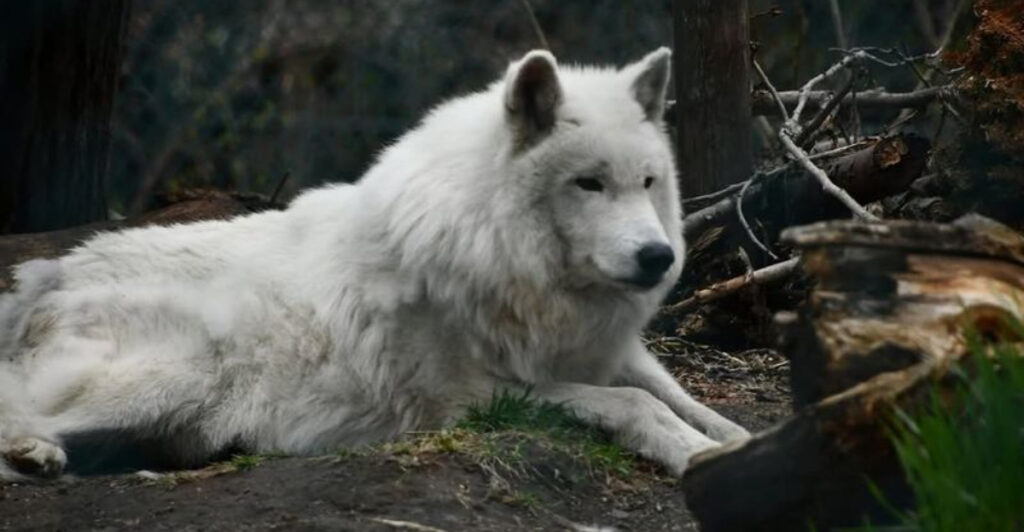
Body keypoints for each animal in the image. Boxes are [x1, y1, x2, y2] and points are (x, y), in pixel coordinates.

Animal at [0, 48, 749, 480]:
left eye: (647, 183)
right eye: (588, 184)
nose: (658, 257)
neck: (505, 260)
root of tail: (48, 276)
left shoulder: (603, 351)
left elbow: (680, 396)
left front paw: (738, 440)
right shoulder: (471, 397)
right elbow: (633, 405)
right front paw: (696, 453)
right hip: (182, 375)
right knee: (18, 406)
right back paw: (33, 455)